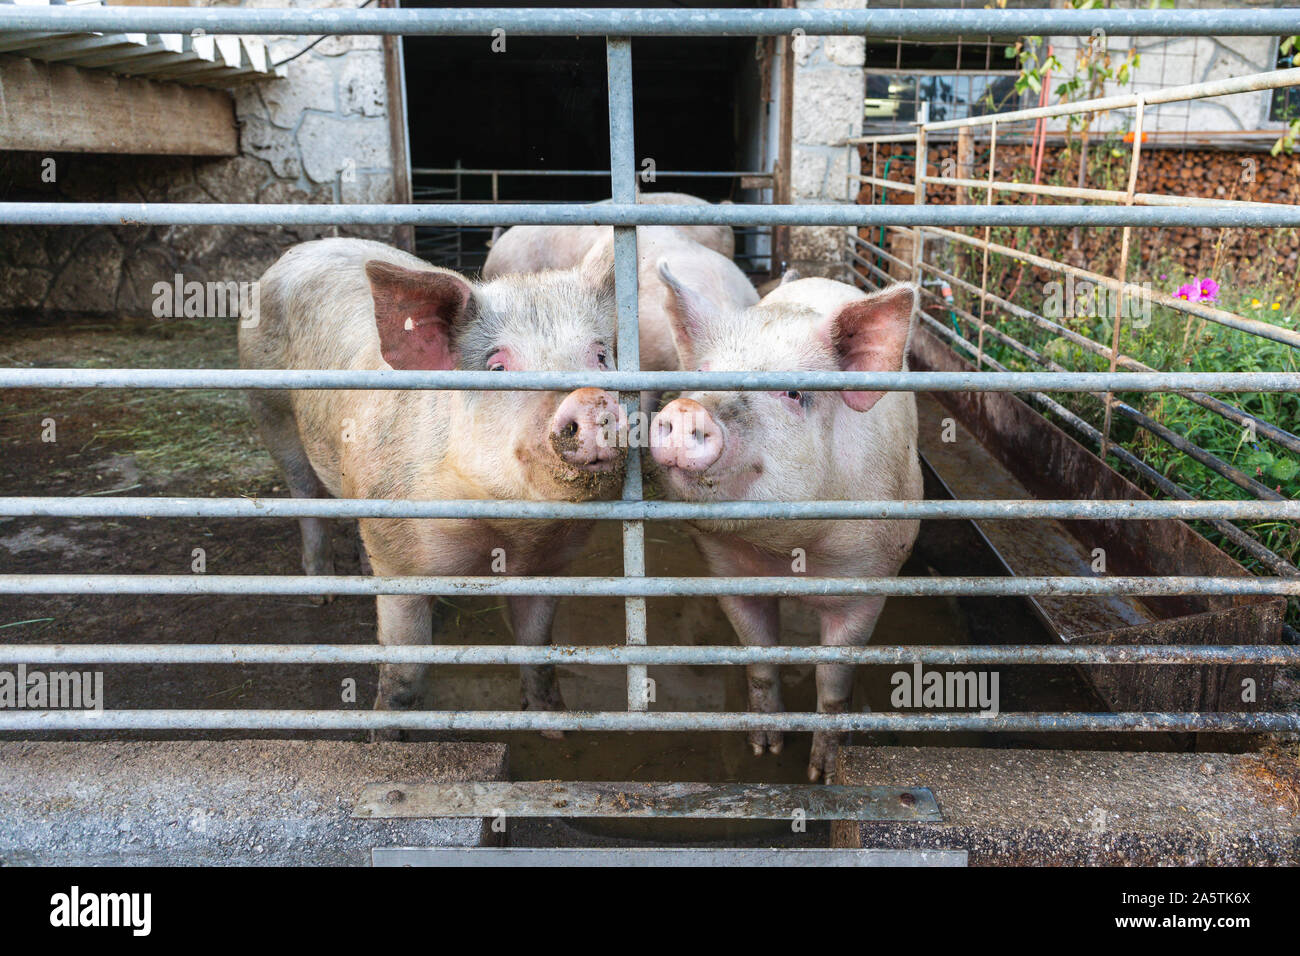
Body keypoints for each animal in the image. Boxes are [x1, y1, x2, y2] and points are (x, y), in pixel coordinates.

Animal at [238, 238, 625, 729]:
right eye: (497, 368)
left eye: (601, 355)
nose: (591, 400)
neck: (506, 537)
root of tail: (302, 250)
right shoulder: (400, 559)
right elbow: (404, 674)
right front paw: (388, 736)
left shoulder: (549, 567)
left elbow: (539, 652)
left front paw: (553, 727)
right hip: (270, 410)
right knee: (305, 497)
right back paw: (323, 593)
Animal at [648, 272, 922, 782]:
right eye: (703, 372)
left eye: (793, 392)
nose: (686, 410)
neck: (787, 555)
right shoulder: (729, 574)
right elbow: (759, 658)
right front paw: (764, 749)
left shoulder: (867, 581)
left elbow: (832, 682)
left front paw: (823, 774)